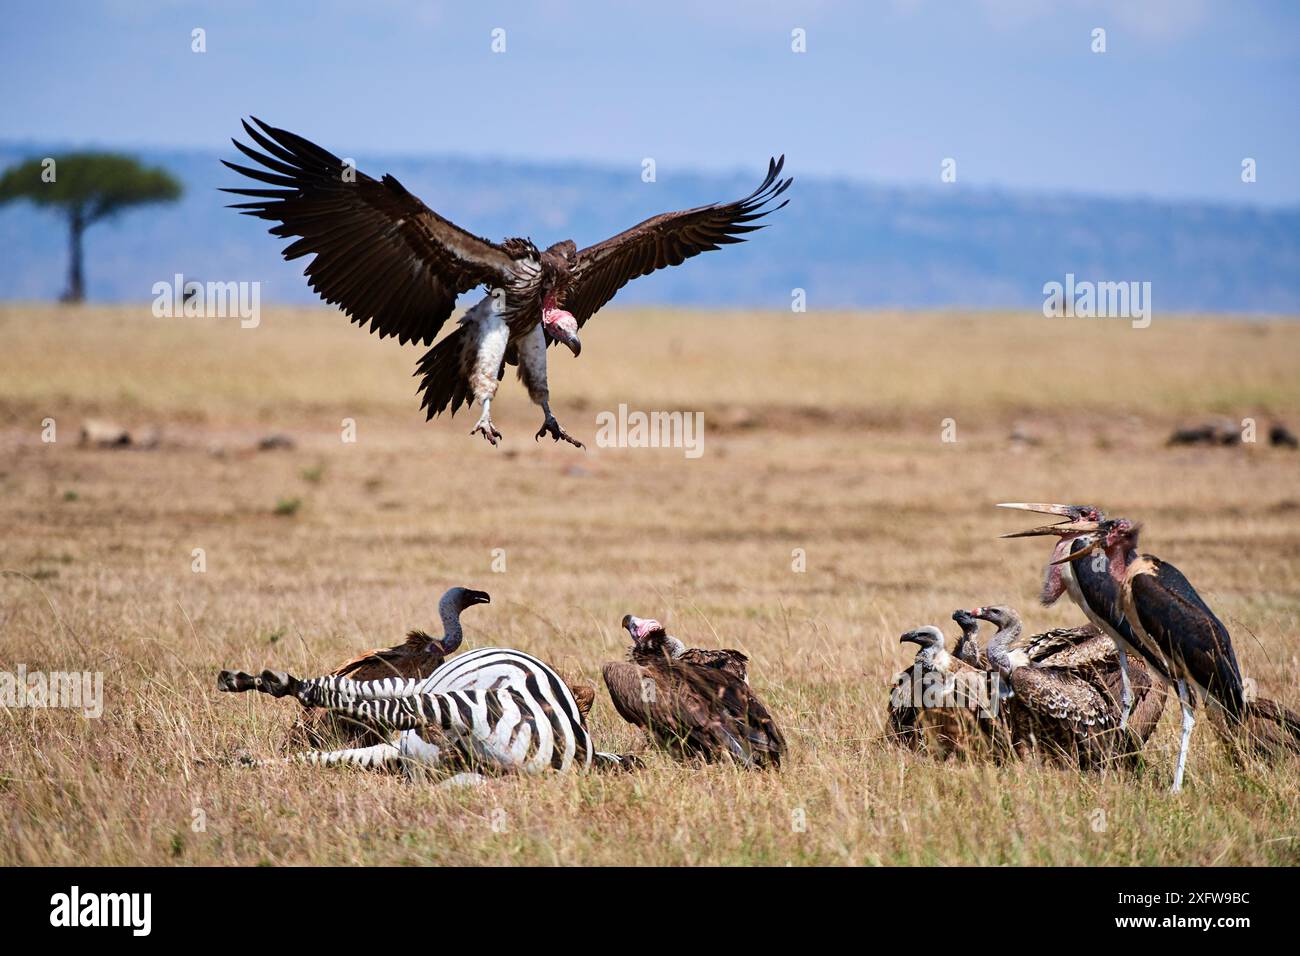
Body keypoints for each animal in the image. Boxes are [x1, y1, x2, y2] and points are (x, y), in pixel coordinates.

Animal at [219, 647, 634, 778]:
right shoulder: (389, 752)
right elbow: (327, 757)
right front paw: (240, 762)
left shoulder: (415, 685)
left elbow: (361, 689)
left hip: (468, 704)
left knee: (399, 710)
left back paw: (271, 682)